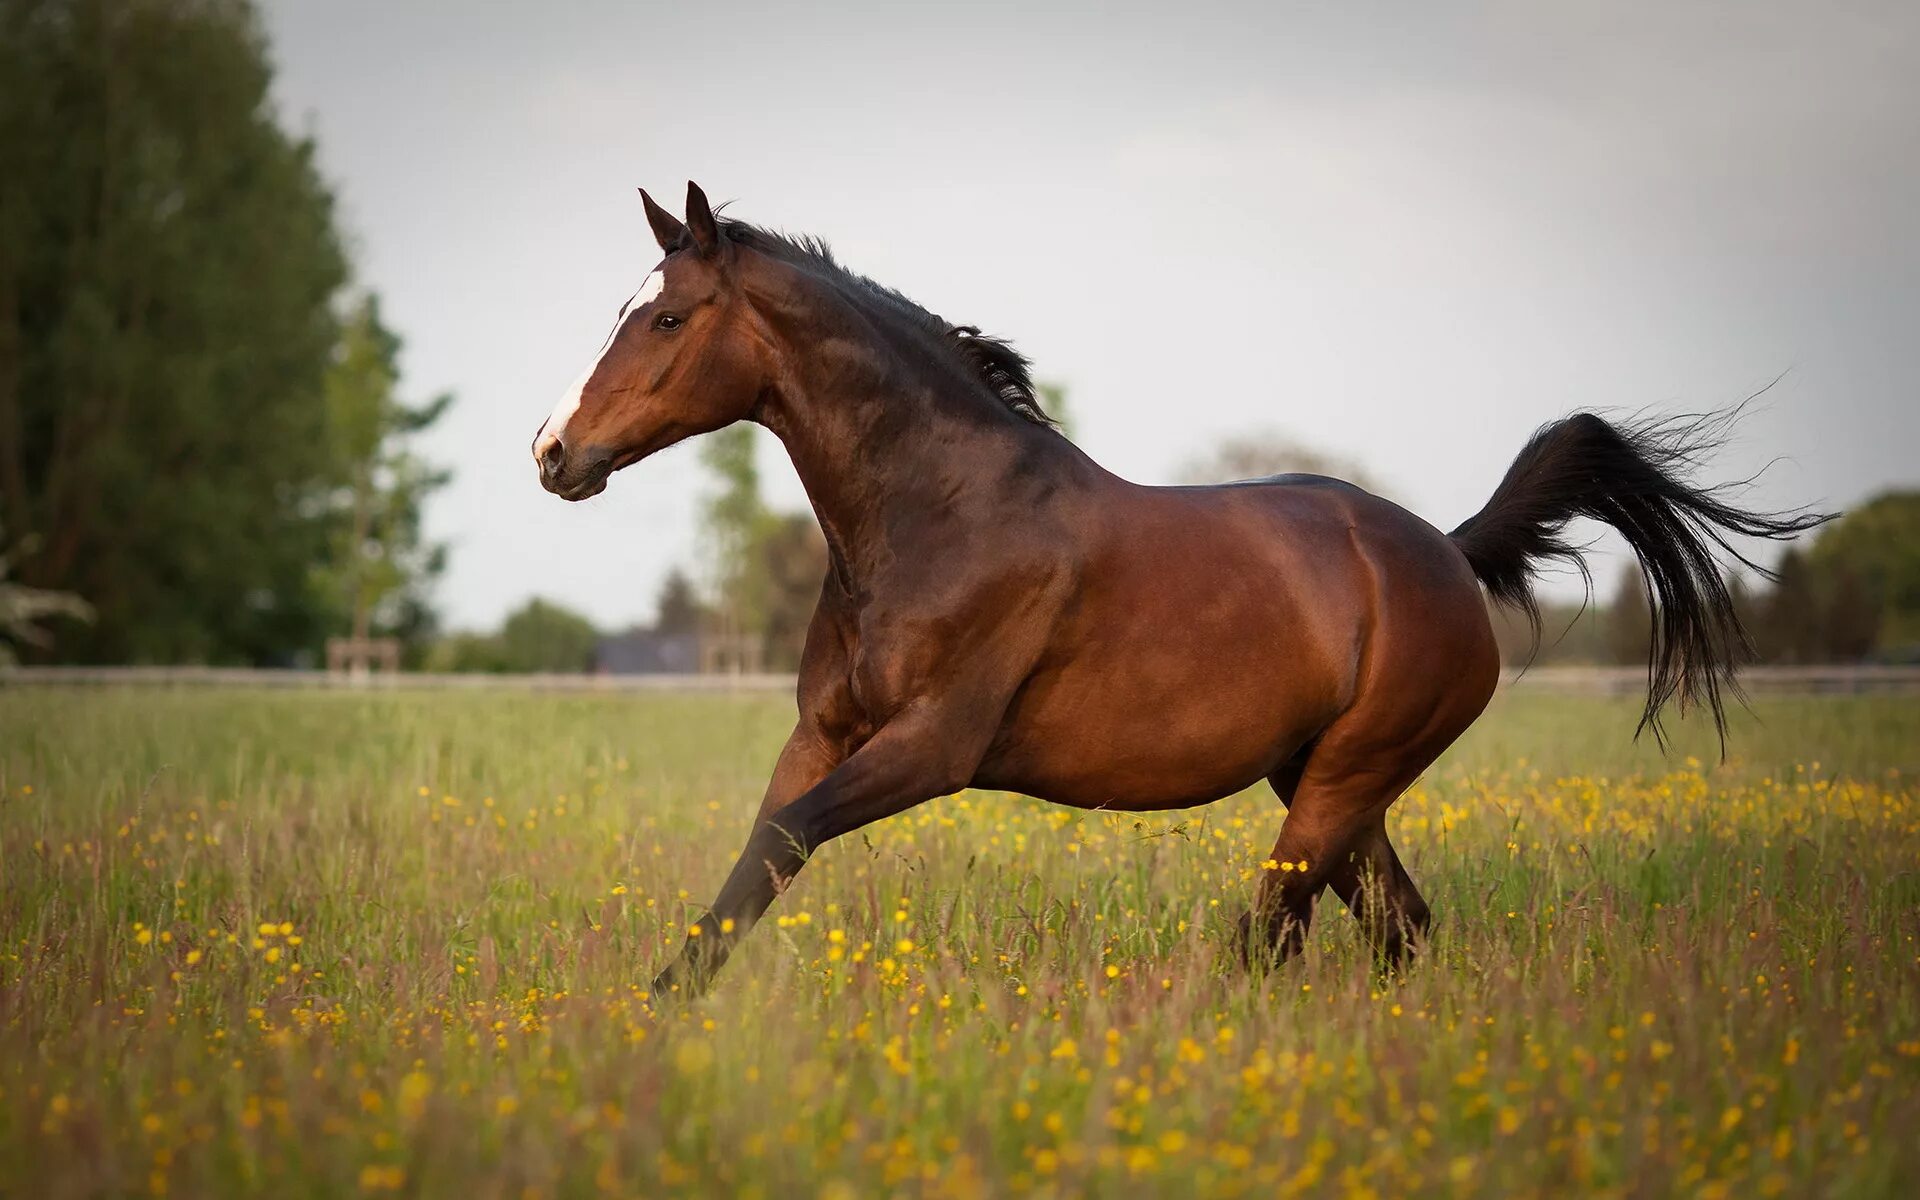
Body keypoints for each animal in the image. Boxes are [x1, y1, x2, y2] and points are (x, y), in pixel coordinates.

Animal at [529, 182, 1827, 998]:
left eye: (667, 316)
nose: (552, 453)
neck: (939, 518)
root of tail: (1448, 555)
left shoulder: (932, 748)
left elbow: (788, 837)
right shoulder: (826, 733)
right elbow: (758, 860)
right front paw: (657, 1009)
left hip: (1340, 783)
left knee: (1278, 939)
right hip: (1328, 784)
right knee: (1398, 930)